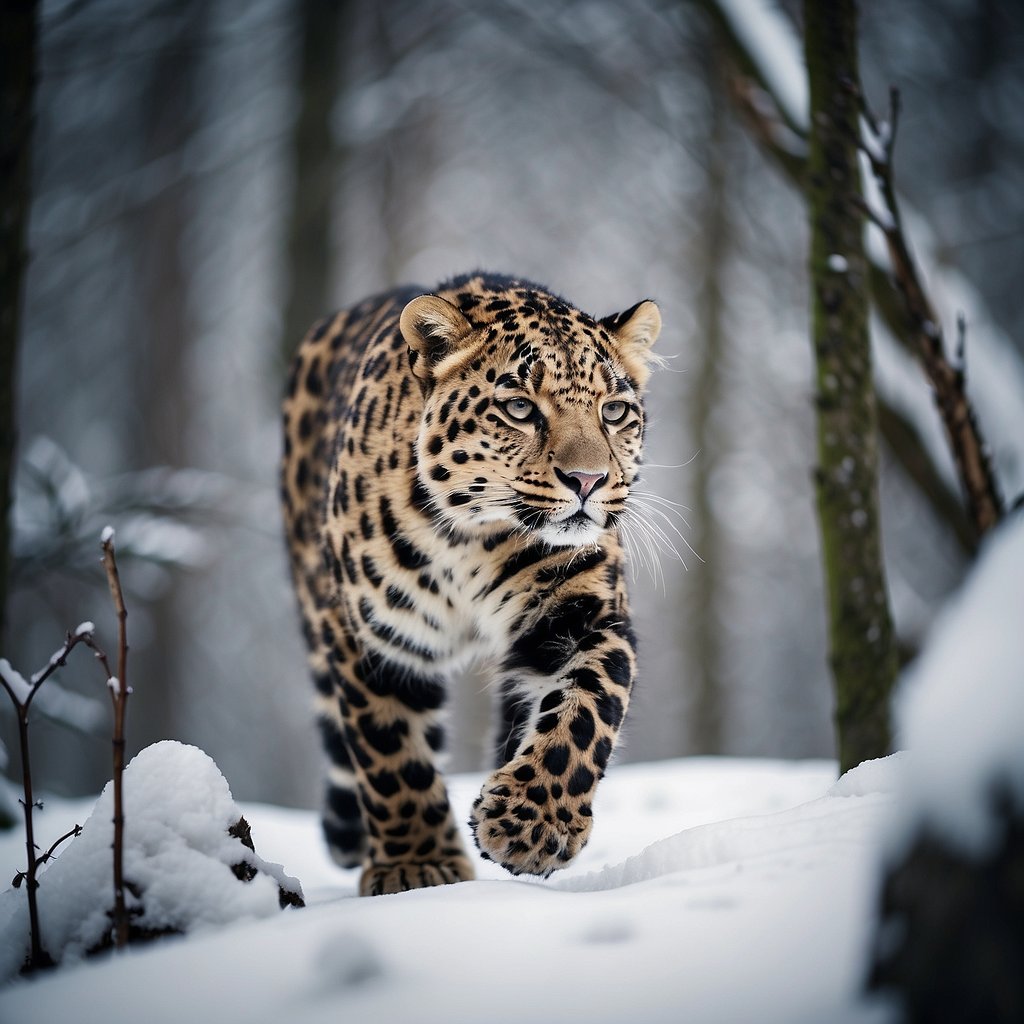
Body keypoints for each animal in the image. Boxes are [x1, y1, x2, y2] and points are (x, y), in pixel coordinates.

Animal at [281, 271, 662, 896]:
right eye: (519, 408)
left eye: (612, 411)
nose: (589, 480)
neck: (472, 538)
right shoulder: (373, 637)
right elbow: (391, 754)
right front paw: (416, 865)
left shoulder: (585, 617)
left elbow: (586, 710)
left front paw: (532, 825)